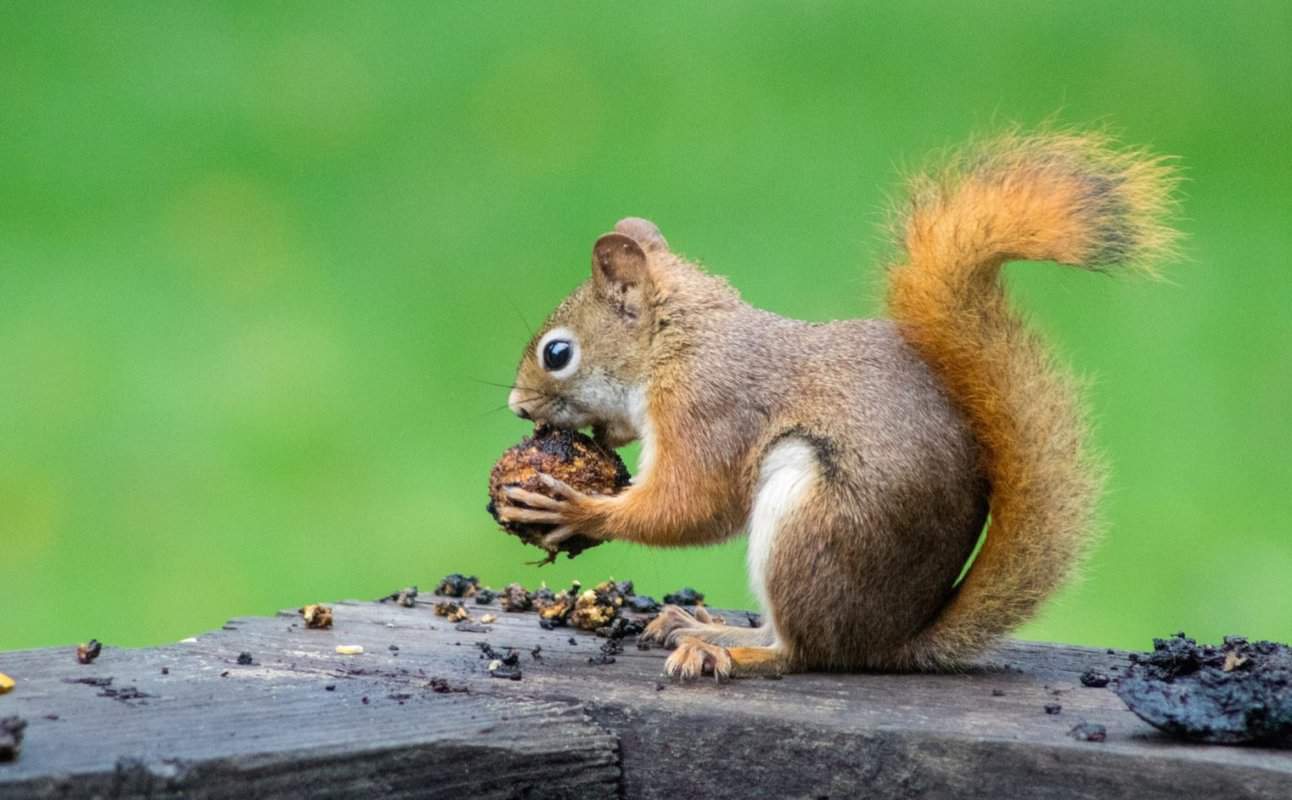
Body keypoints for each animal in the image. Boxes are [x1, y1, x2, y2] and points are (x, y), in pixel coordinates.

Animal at [495, 131, 1179, 678]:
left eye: (558, 353)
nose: (517, 407)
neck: (678, 342)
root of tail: (889, 642)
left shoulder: (709, 406)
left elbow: (693, 505)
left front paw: (577, 507)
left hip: (810, 522)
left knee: (801, 652)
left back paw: (726, 649)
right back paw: (699, 624)